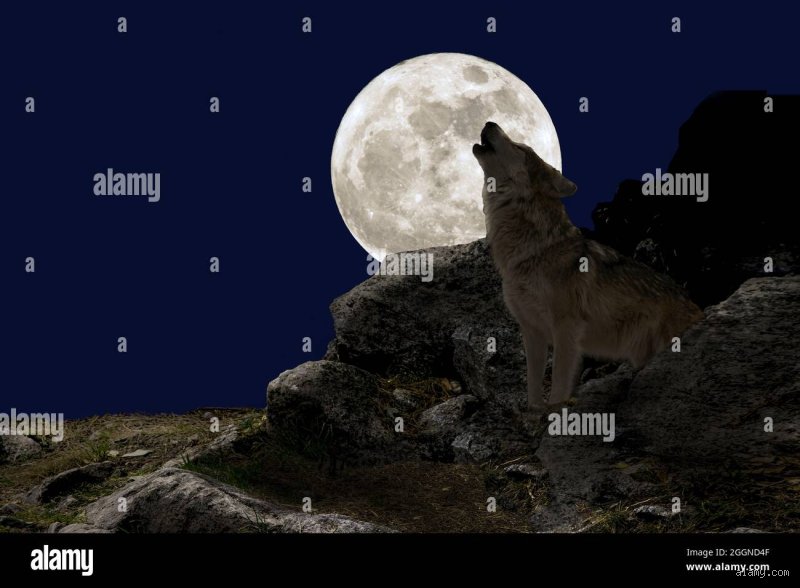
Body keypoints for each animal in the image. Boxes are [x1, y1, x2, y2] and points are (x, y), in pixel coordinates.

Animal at [472, 122, 704, 412]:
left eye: (519, 147)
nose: (489, 123)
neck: (533, 251)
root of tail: (698, 309)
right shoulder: (532, 331)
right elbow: (533, 386)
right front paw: (534, 412)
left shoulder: (566, 329)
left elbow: (559, 384)